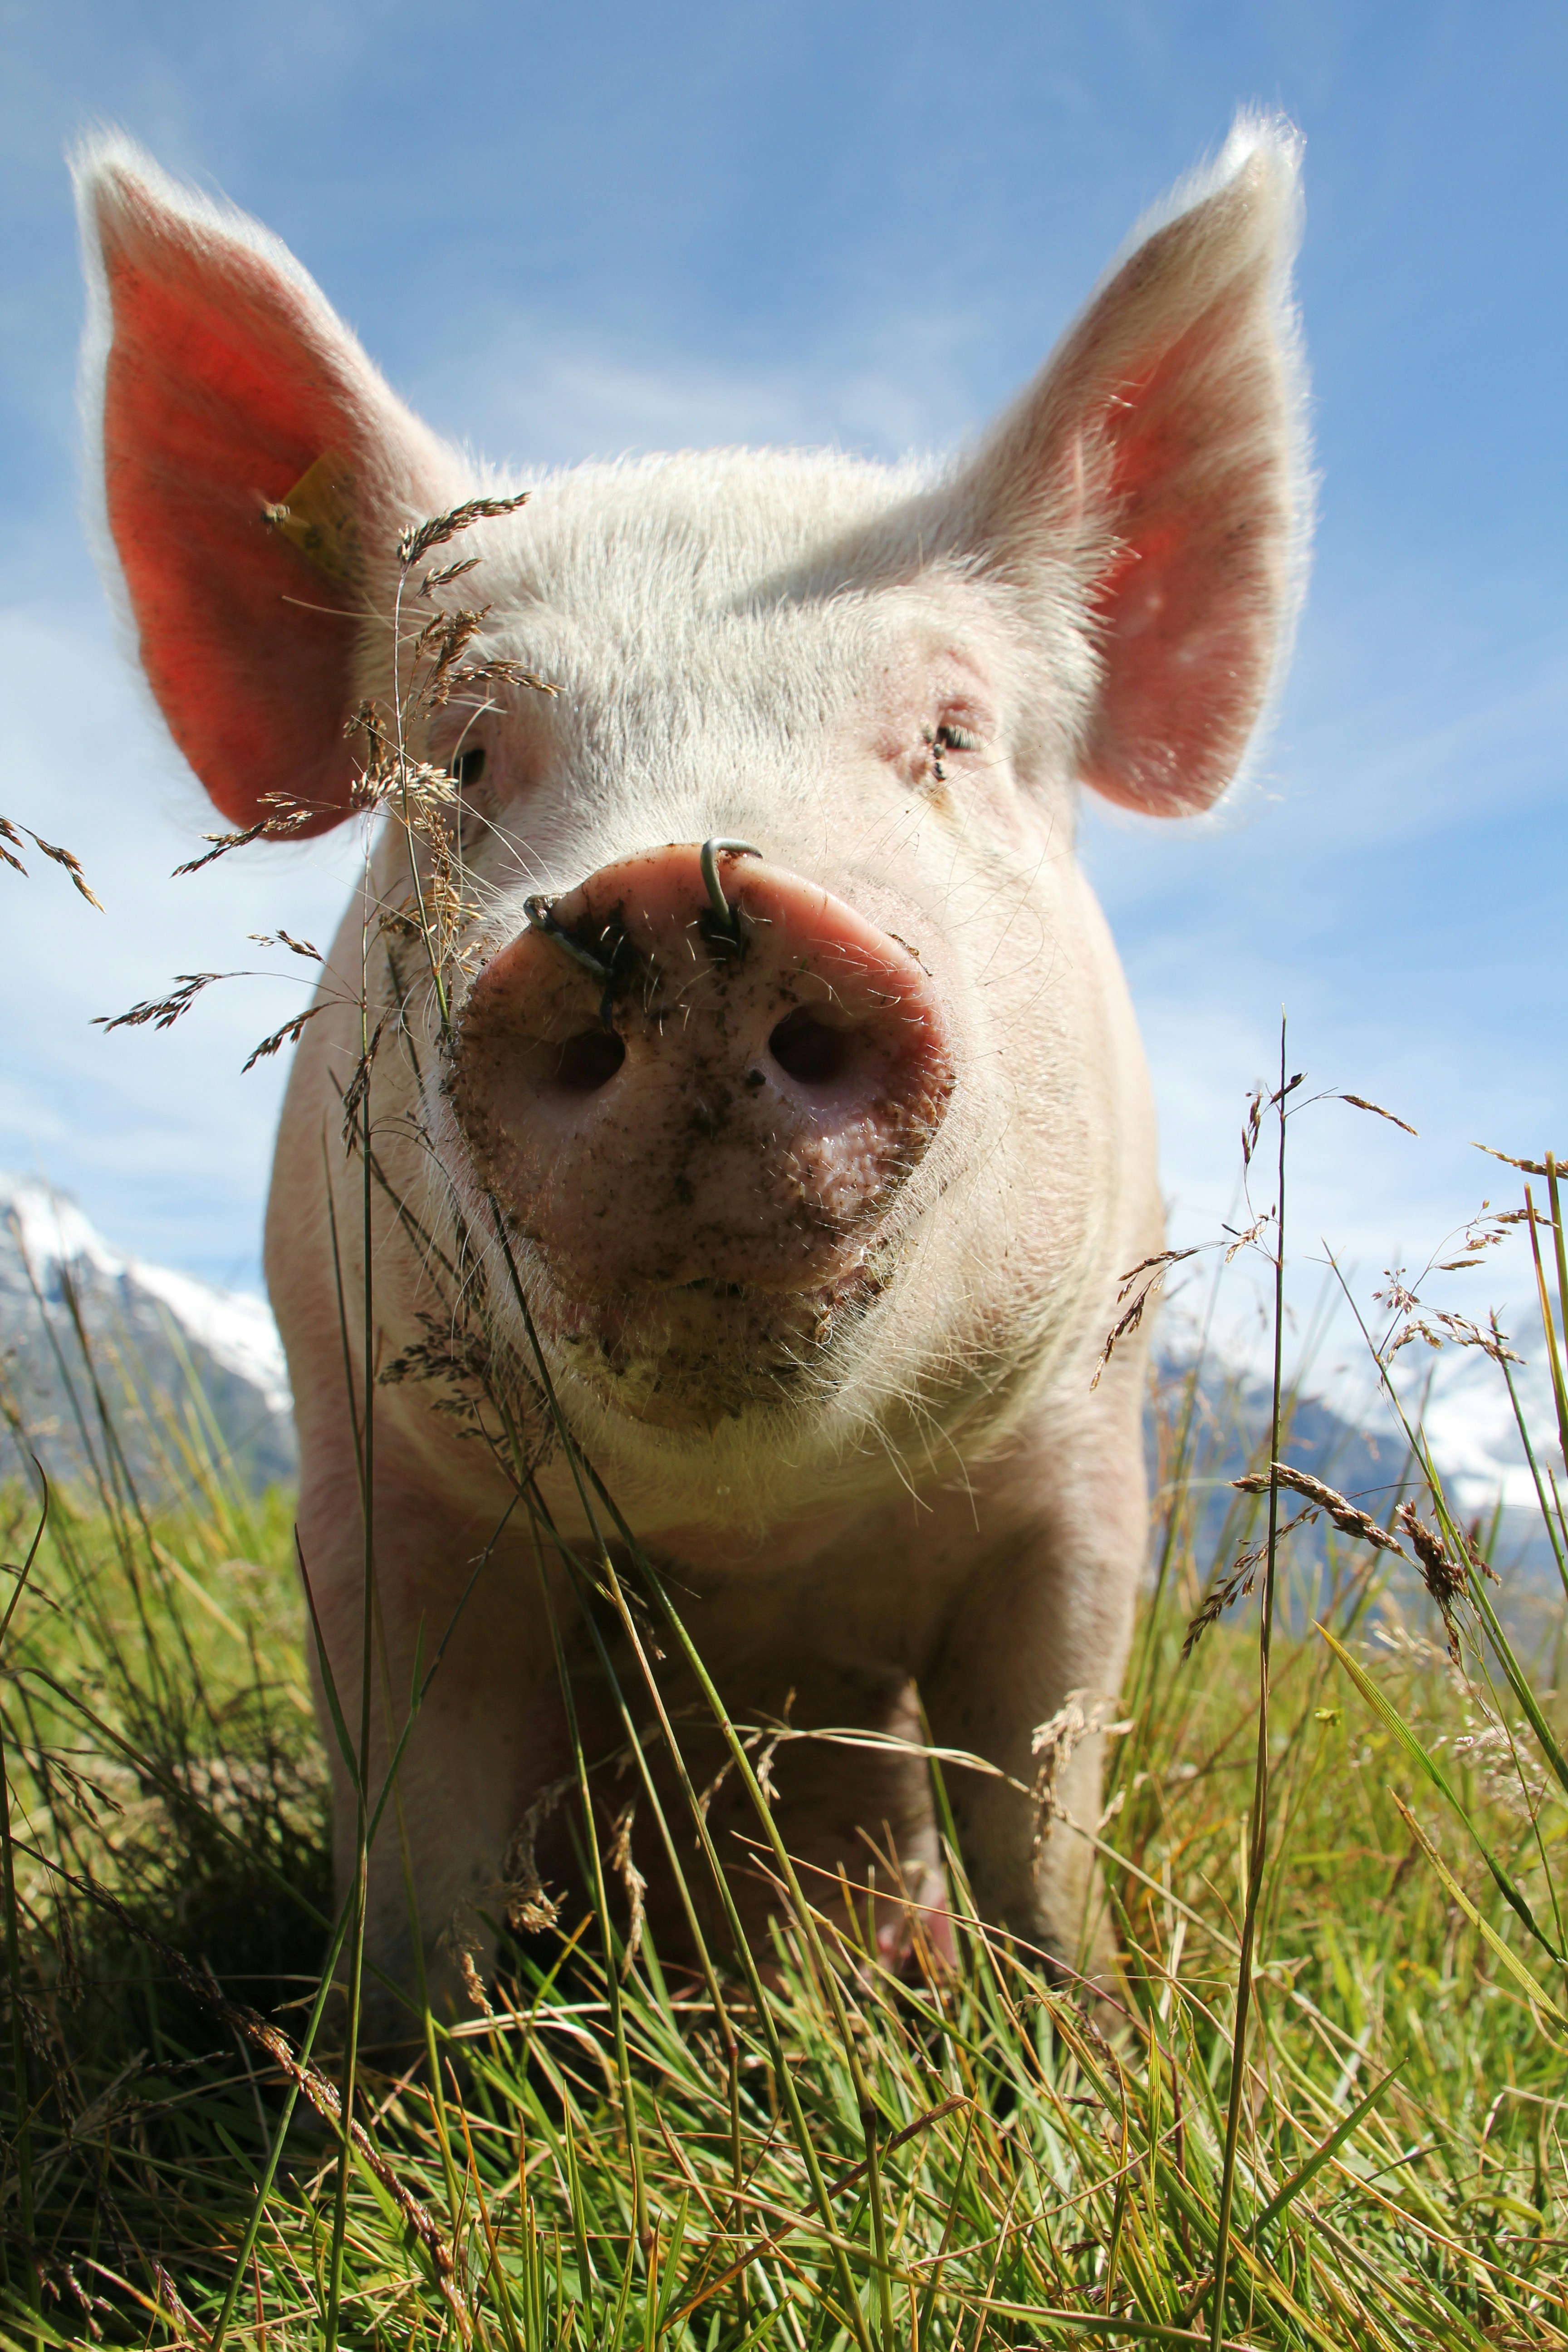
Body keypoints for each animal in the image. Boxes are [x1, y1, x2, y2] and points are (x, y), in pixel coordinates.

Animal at [75, 116, 1308, 2040]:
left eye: (948, 734)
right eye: (465, 752)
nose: (678, 893)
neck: (748, 1549)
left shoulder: (1084, 1470)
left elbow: (1042, 1816)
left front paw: (1082, 2053)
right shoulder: (372, 1477)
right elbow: (419, 1843)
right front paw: (395, 2079)